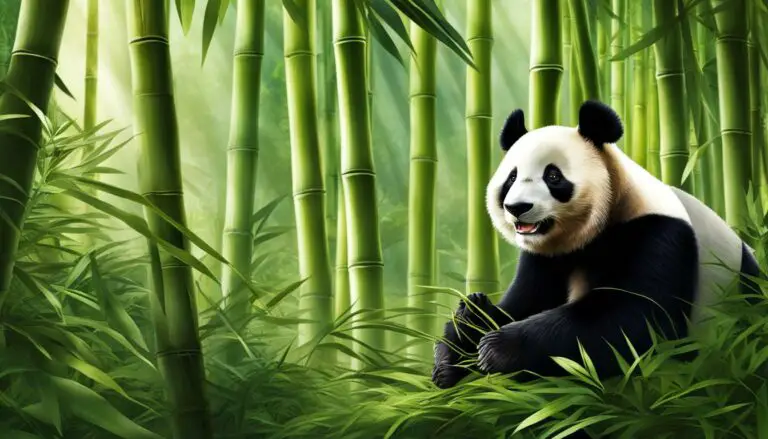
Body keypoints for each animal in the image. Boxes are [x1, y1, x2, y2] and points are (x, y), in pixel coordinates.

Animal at [432, 100, 764, 390]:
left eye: (553, 175)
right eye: (511, 178)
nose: (517, 207)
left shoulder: (658, 234)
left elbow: (632, 322)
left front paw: (498, 348)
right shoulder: (548, 257)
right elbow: (523, 302)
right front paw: (464, 327)